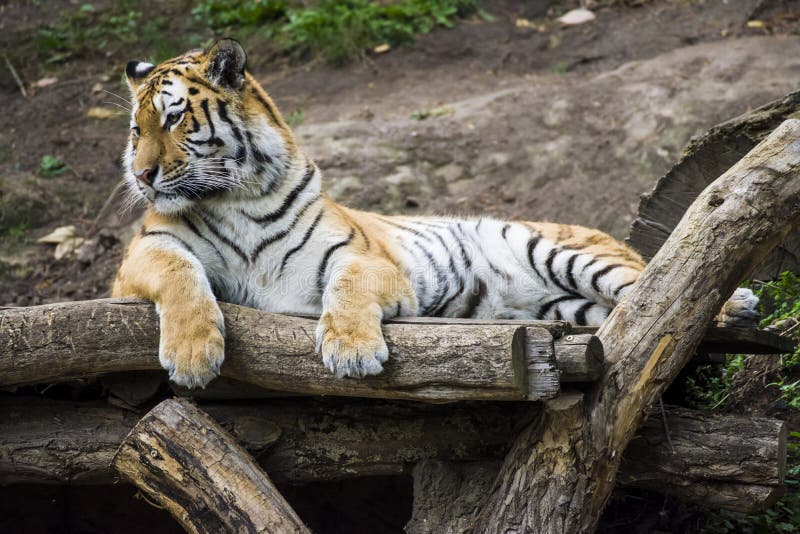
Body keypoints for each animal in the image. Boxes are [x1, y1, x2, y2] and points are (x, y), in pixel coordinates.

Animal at [112, 39, 760, 388]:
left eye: (173, 118)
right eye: (135, 130)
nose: (141, 176)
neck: (237, 197)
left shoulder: (363, 258)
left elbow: (347, 286)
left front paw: (352, 350)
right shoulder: (141, 256)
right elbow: (179, 272)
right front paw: (193, 355)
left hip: (564, 252)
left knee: (657, 285)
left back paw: (738, 304)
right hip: (569, 307)